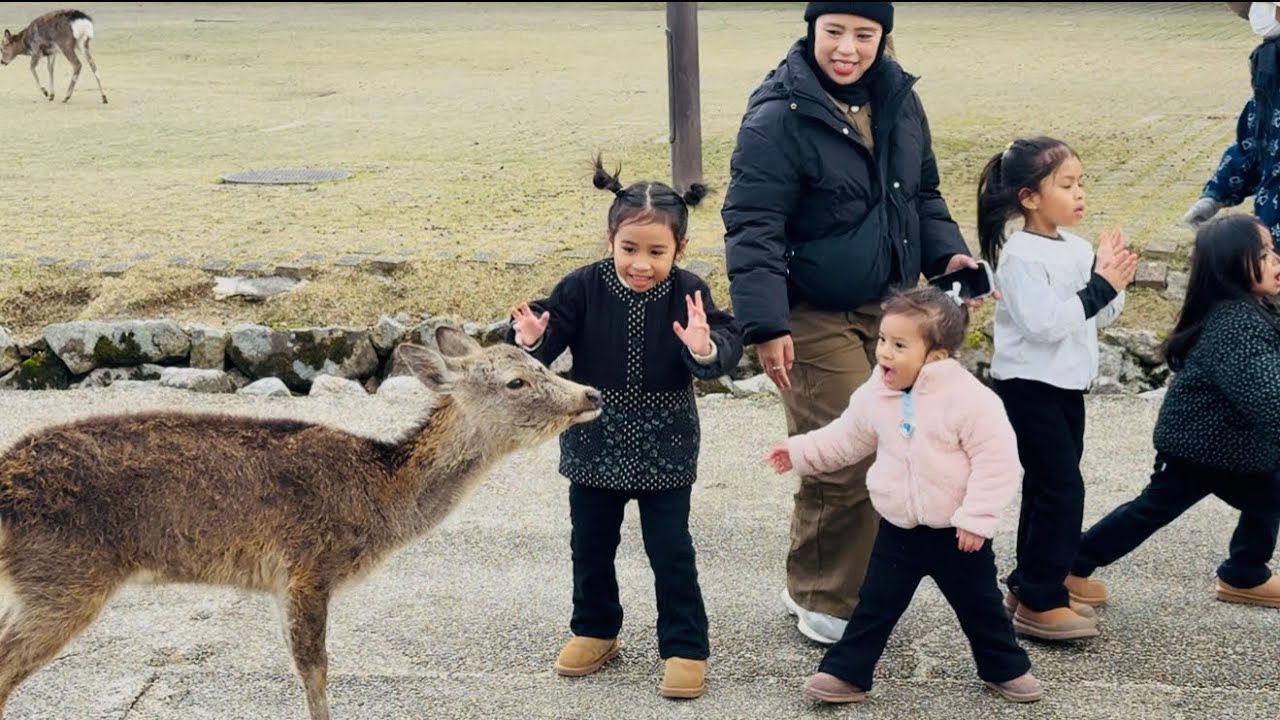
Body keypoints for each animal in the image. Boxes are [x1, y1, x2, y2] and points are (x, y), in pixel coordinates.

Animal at [0, 325, 602, 719]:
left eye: (540, 363)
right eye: (515, 382)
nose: (591, 392)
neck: (378, 500)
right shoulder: (307, 564)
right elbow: (314, 669)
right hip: (65, 575)